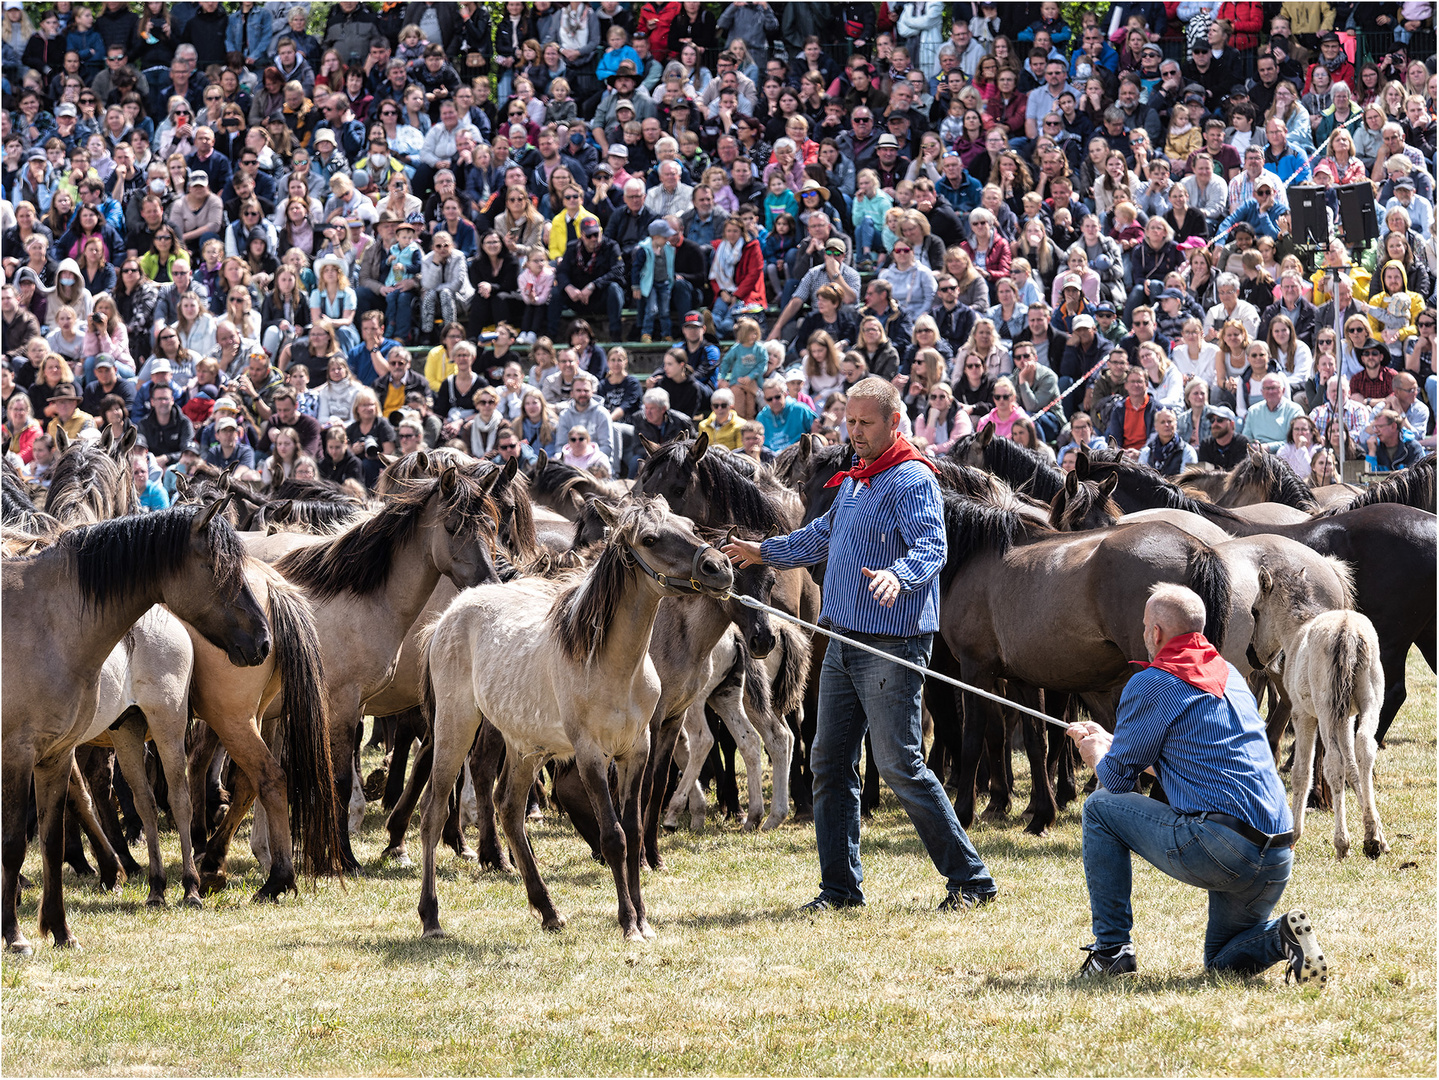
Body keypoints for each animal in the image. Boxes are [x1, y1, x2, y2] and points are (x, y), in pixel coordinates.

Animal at [2, 503, 270, 953]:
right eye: (218, 568)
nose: (263, 641)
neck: (45, 624)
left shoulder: (52, 757)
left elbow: (46, 842)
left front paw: (53, 930)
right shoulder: (25, 758)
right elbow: (23, 843)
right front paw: (23, 933)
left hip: (164, 722)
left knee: (178, 798)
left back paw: (188, 886)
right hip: (129, 731)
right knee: (147, 801)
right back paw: (161, 885)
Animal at [416, 495, 734, 941]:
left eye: (688, 525)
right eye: (650, 539)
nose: (718, 567)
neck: (612, 666)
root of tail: (448, 615)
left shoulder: (636, 751)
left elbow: (634, 832)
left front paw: (644, 919)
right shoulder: (589, 756)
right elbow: (613, 836)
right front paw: (628, 923)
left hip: (525, 747)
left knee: (509, 808)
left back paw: (548, 910)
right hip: (455, 728)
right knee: (433, 811)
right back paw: (431, 917)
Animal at [1249, 570, 1388, 860]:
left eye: (1255, 611)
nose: (1252, 656)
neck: (1296, 633)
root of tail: (1347, 630)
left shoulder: (1303, 715)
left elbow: (1302, 772)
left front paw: (1293, 834)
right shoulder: (1346, 716)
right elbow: (1353, 768)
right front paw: (1378, 836)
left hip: (1324, 711)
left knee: (1332, 762)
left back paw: (1342, 842)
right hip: (1369, 704)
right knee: (1365, 748)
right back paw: (1370, 840)